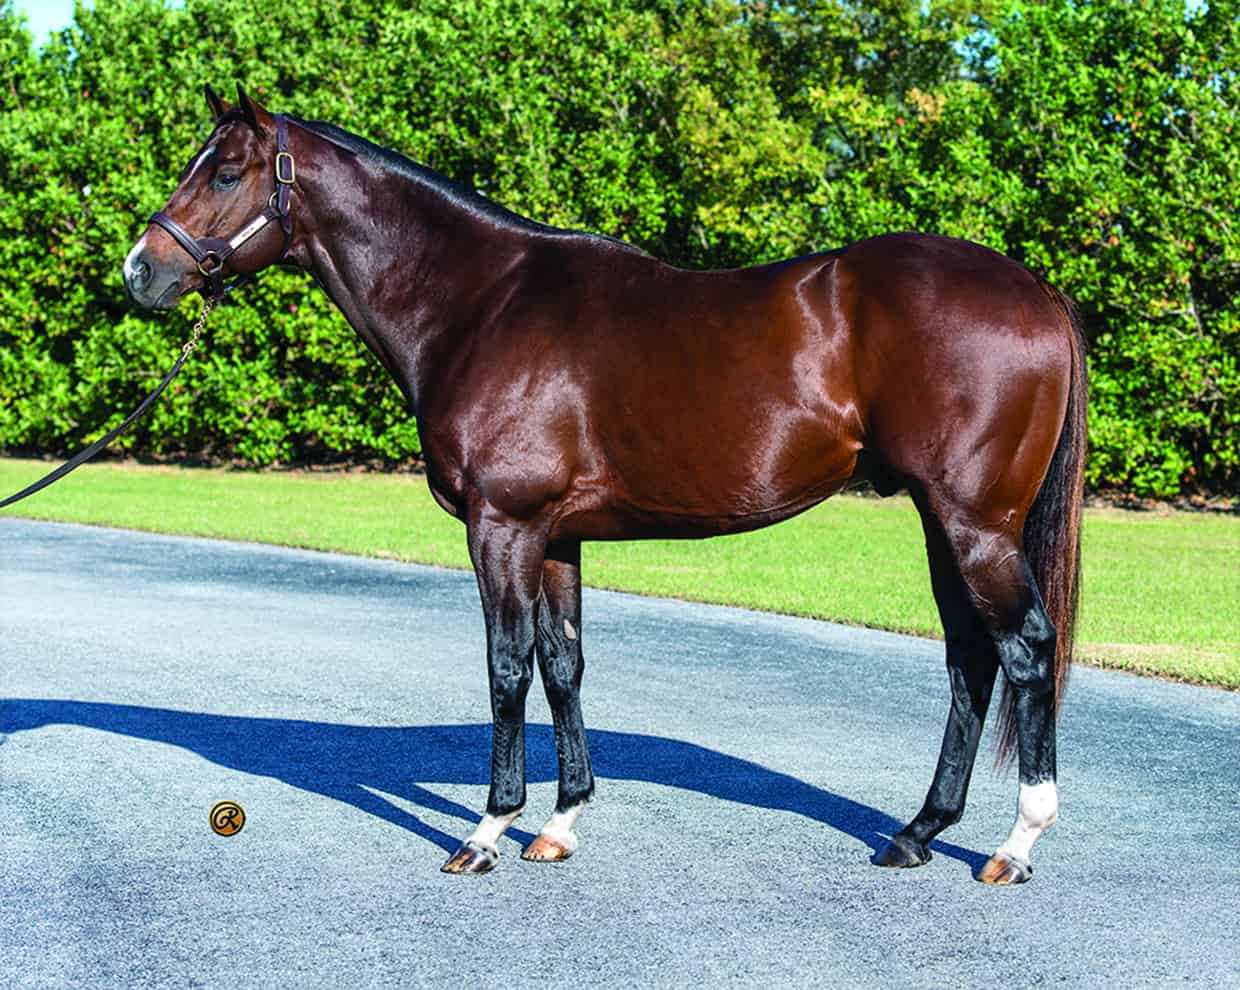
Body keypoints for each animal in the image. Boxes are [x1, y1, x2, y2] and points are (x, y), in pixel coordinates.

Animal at [123, 84, 1086, 884]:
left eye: (228, 171)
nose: (141, 272)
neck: (481, 304)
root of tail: (1036, 292)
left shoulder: (502, 525)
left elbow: (506, 665)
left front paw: (487, 830)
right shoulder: (557, 535)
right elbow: (563, 664)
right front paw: (559, 824)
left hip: (974, 522)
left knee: (1025, 651)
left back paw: (1014, 845)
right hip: (941, 521)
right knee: (970, 661)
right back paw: (918, 833)